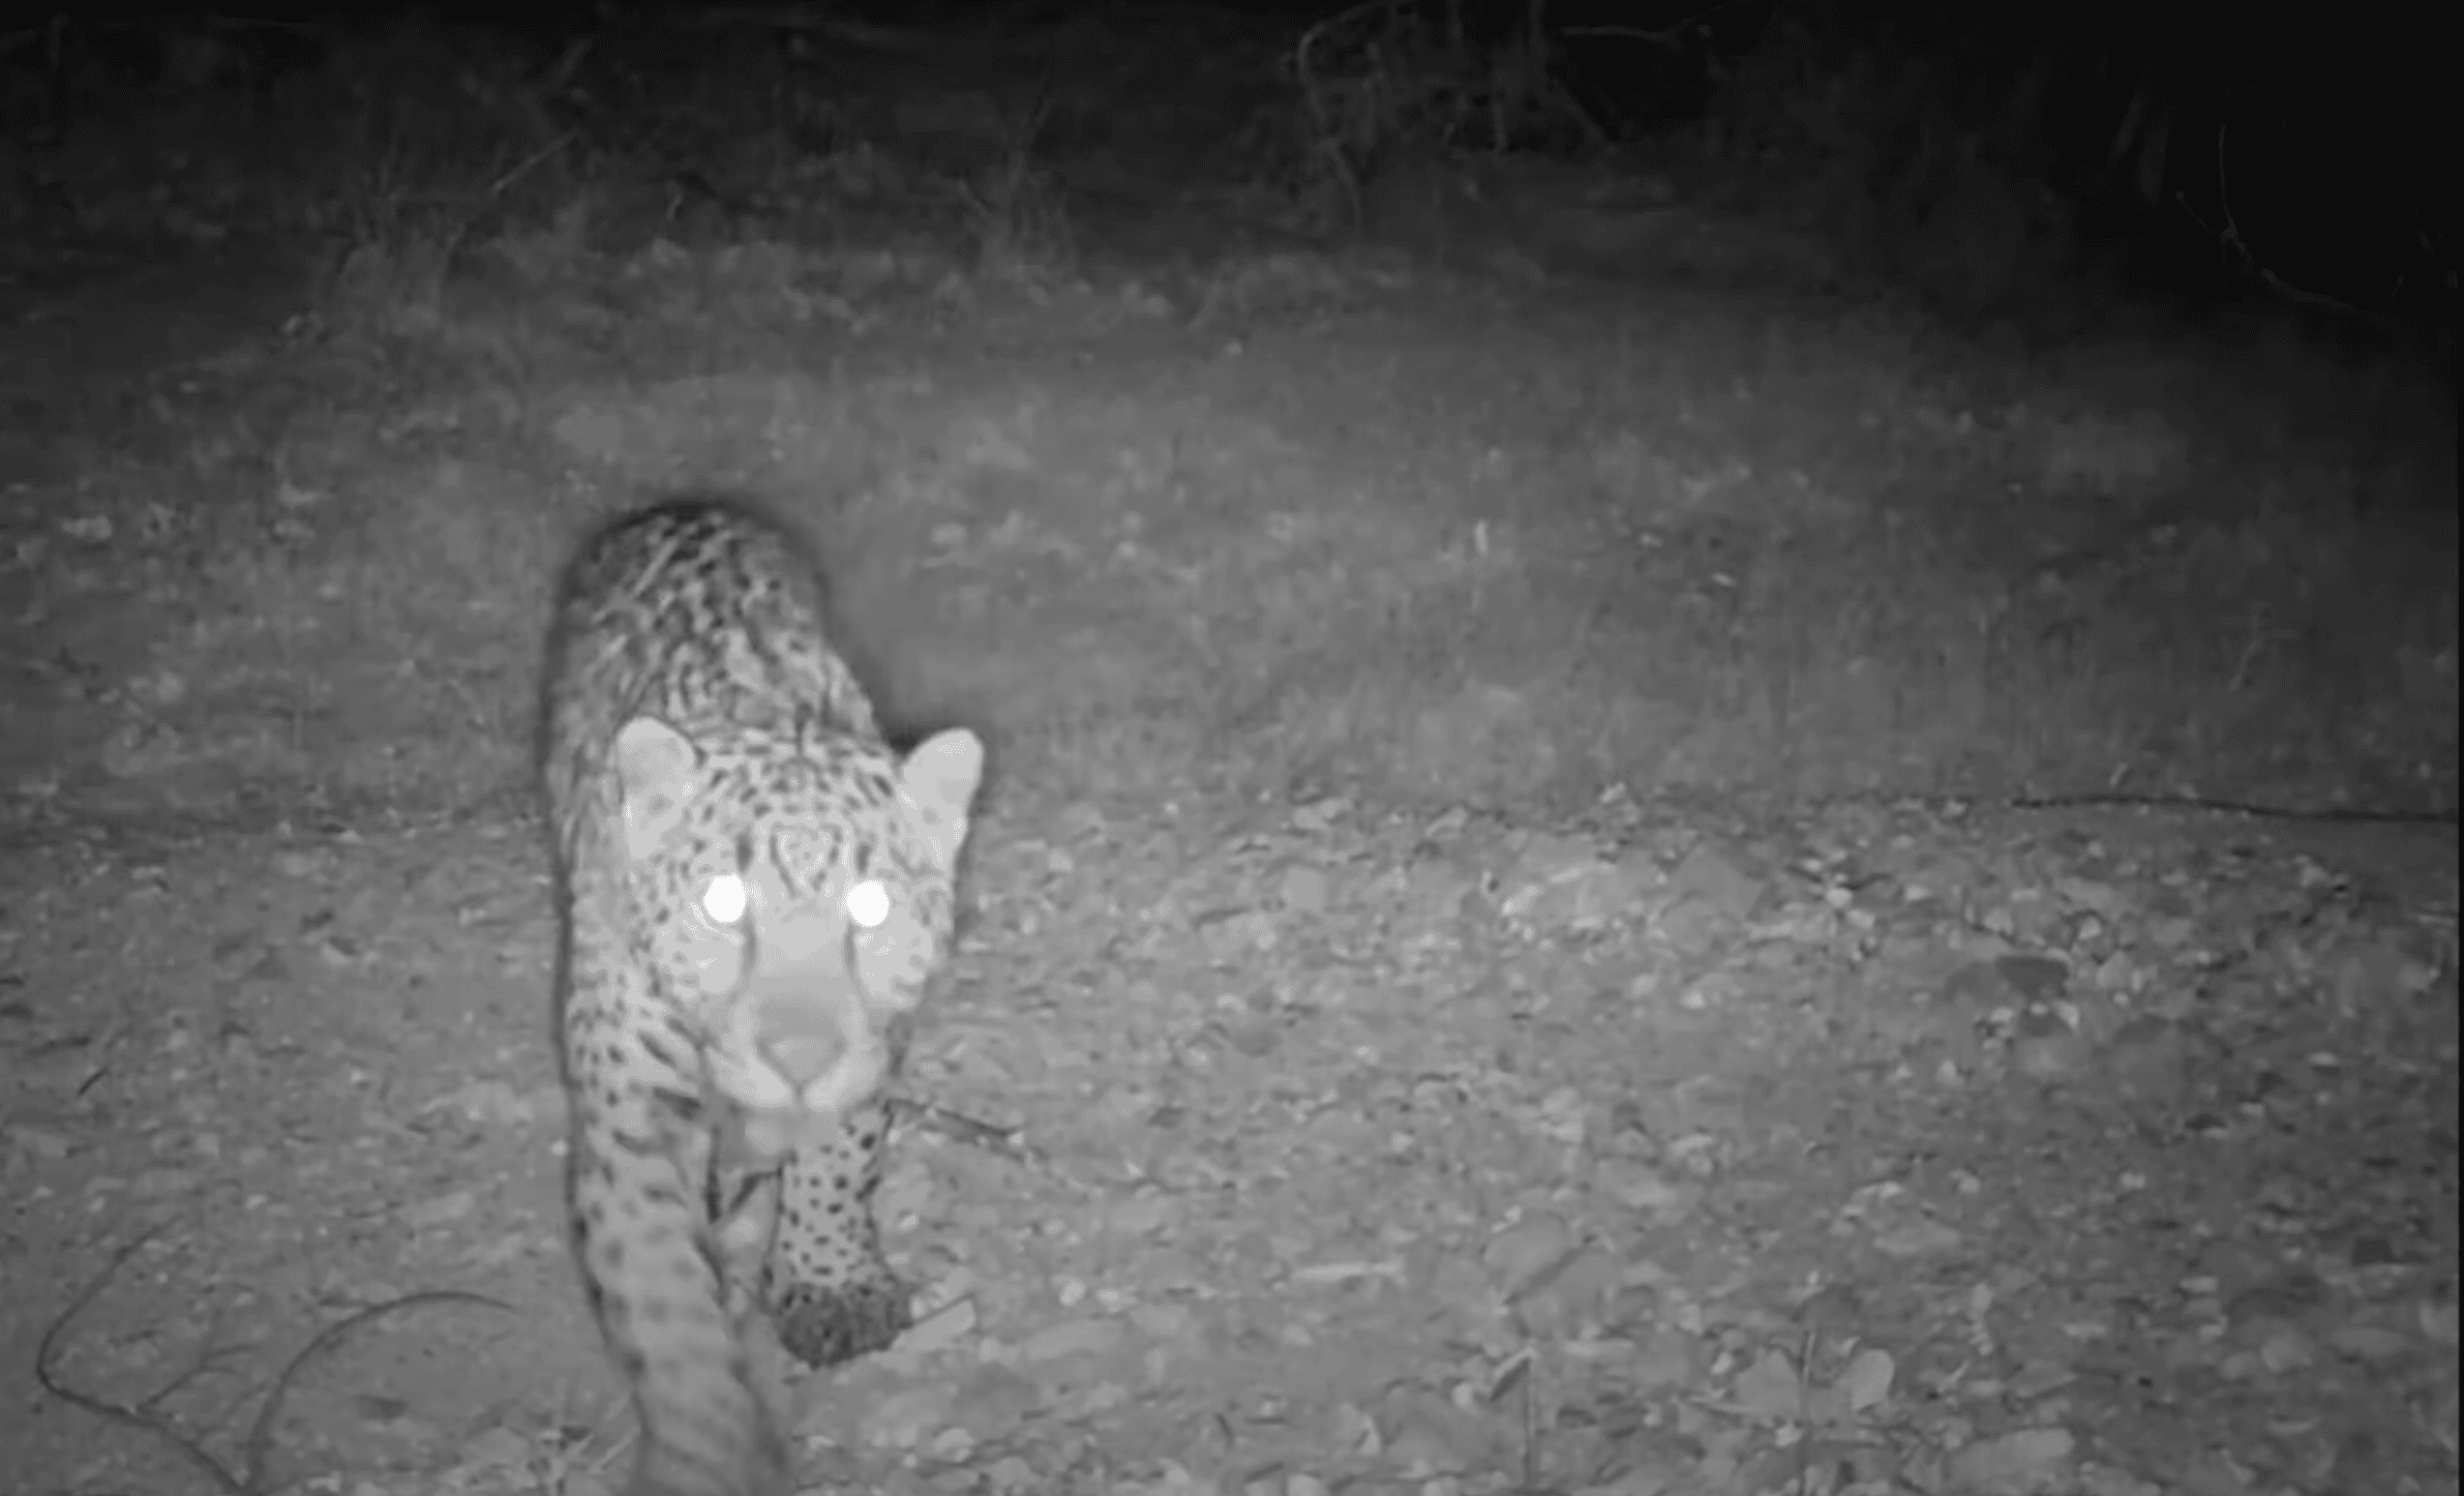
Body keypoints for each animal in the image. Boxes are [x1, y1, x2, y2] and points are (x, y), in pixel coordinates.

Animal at [538, 495, 984, 1496]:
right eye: (723, 904)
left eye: (871, 908)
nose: (798, 1057)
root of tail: (687, 505)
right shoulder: (631, 1118)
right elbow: (662, 1299)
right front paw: (704, 1443)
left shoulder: (872, 1045)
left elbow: (838, 1156)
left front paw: (828, 1282)